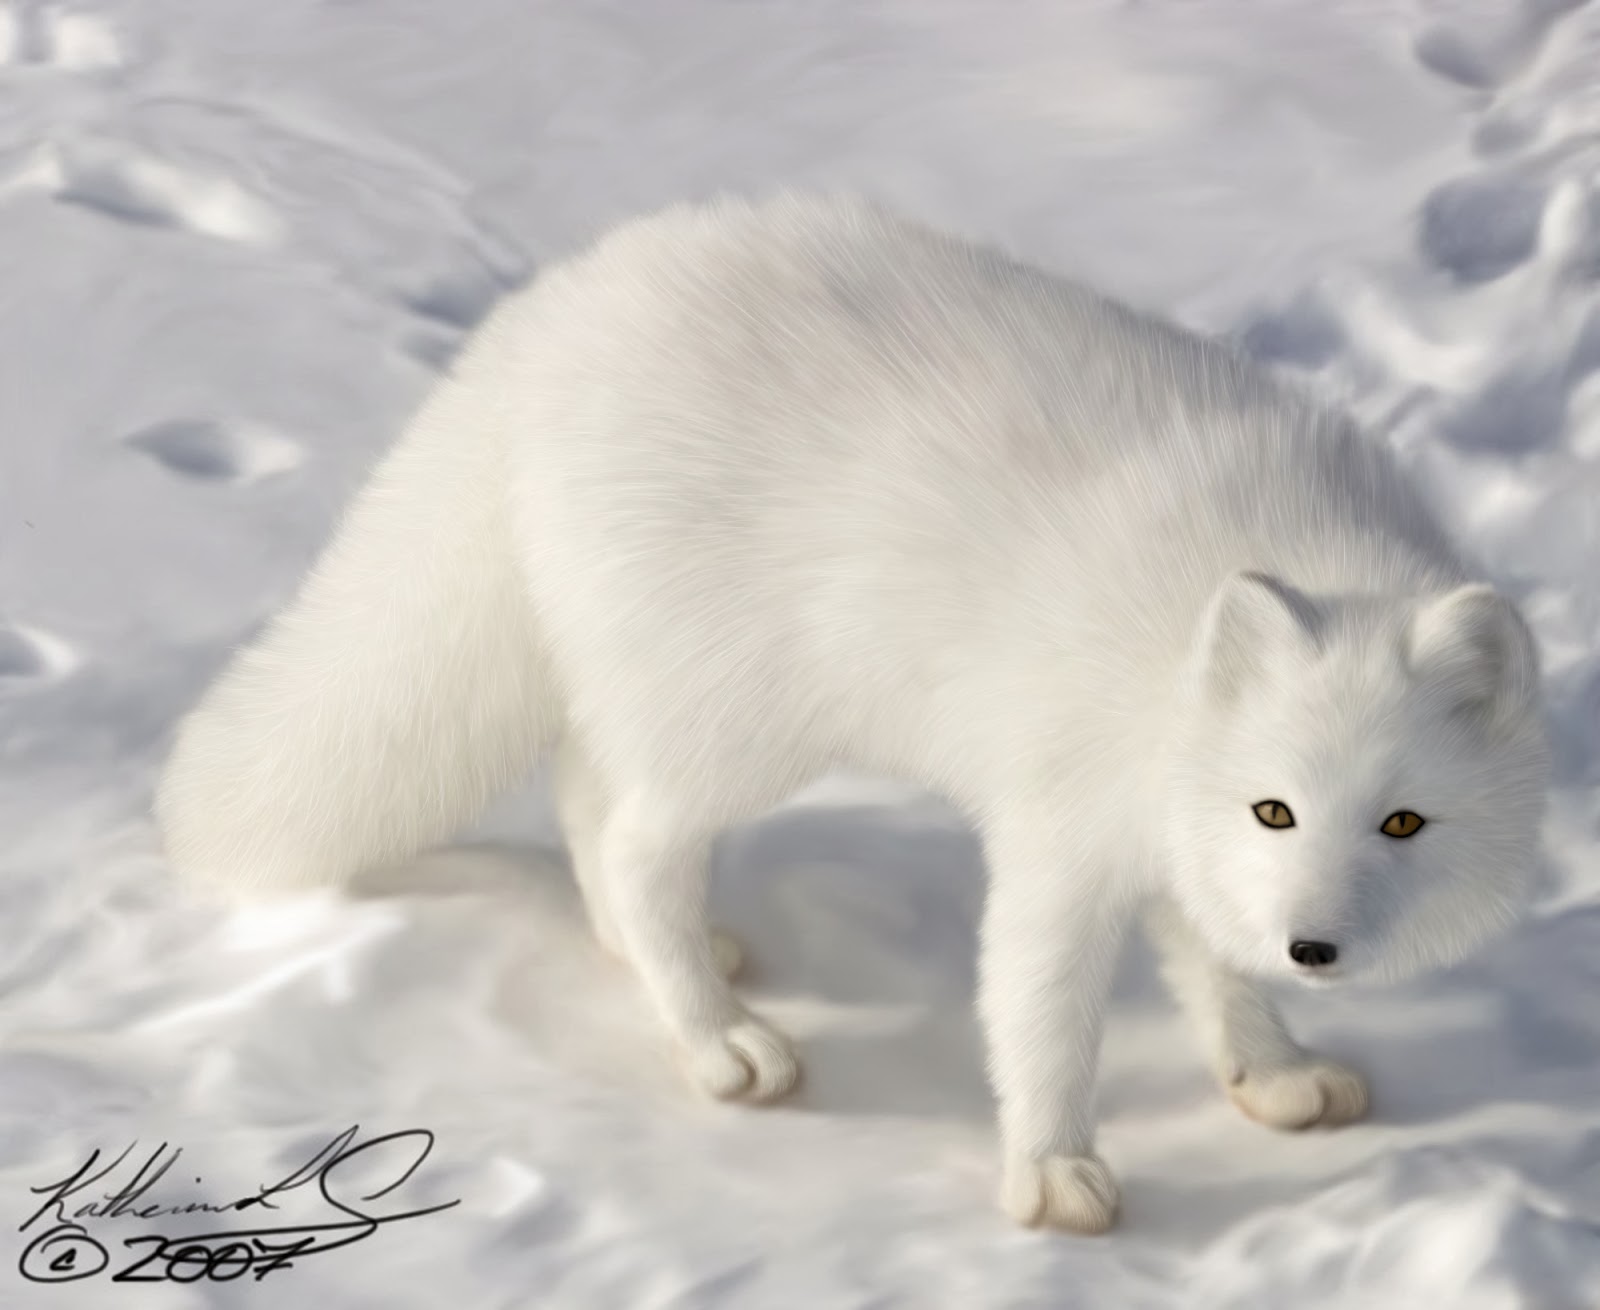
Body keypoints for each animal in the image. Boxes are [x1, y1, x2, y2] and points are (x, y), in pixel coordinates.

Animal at [156, 191, 1551, 1234]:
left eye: (1403, 822)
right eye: (1277, 807)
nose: (1314, 944)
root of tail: (551, 310)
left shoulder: (1164, 831)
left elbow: (1213, 969)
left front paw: (1271, 1069)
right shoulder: (1061, 831)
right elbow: (1041, 1015)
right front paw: (1051, 1171)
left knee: (589, 799)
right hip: (741, 719)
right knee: (633, 838)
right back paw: (718, 1041)